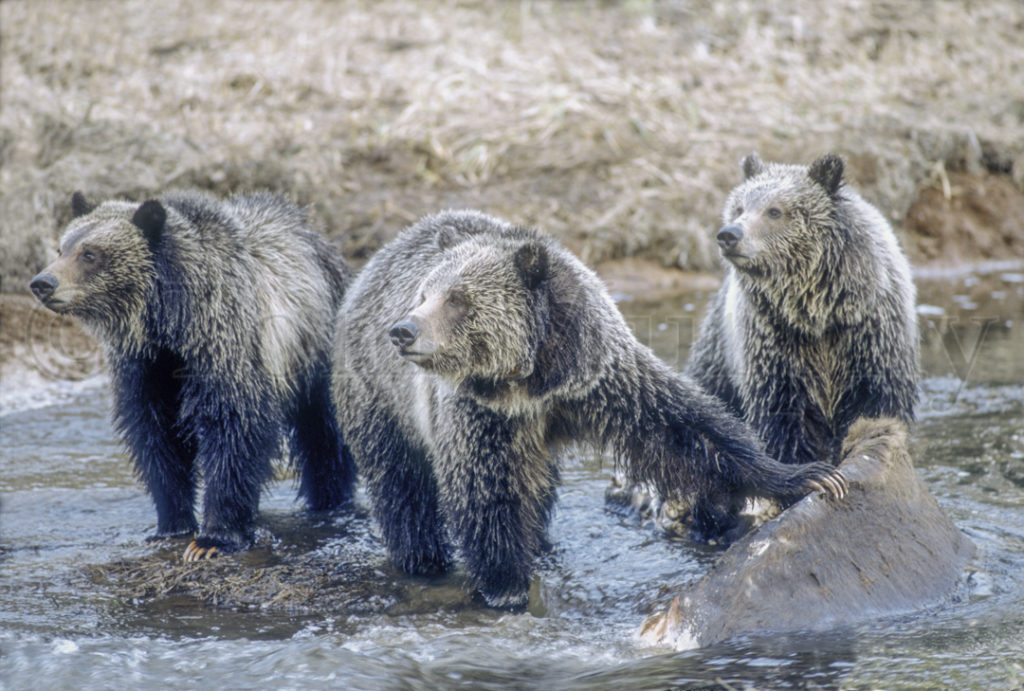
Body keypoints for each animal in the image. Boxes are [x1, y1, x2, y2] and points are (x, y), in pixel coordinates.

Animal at [29, 190, 357, 560]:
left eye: (90, 254)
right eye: (62, 248)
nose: (43, 283)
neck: (170, 323)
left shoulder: (226, 345)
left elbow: (234, 429)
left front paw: (213, 539)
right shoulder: (146, 369)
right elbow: (156, 439)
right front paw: (171, 525)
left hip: (316, 347)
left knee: (324, 434)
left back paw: (329, 498)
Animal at [331, 209, 846, 609]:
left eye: (456, 298)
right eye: (423, 294)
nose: (404, 329)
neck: (532, 377)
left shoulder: (598, 374)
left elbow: (687, 432)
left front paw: (805, 476)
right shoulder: (478, 412)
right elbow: (486, 491)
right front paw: (505, 586)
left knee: (535, 485)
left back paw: (538, 540)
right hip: (377, 395)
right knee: (401, 486)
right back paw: (422, 558)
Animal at [686, 153, 919, 476]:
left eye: (774, 211)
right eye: (740, 207)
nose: (729, 235)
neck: (817, 310)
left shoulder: (870, 339)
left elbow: (878, 404)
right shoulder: (777, 343)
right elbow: (786, 420)